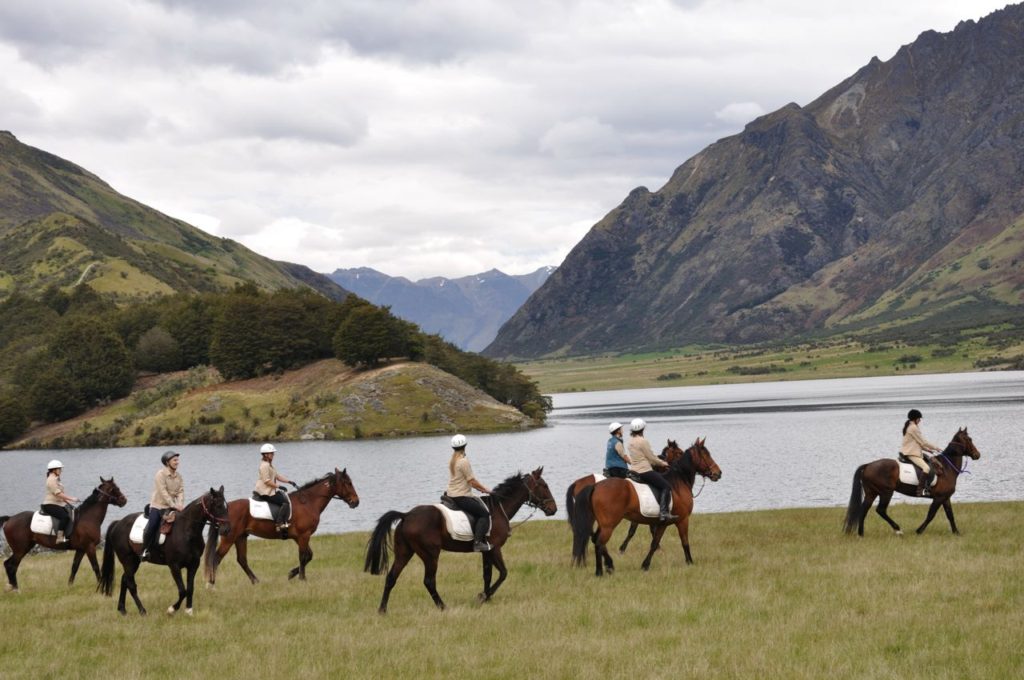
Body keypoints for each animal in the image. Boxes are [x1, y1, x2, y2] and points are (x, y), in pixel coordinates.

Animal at [99, 487, 230, 616]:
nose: (226, 529)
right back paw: (142, 611)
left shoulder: (193, 565)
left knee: (124, 580)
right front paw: (172, 609)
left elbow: (190, 589)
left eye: (226, 506)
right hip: (128, 561)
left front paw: (188, 610)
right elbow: (183, 591)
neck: (187, 531)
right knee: (131, 584)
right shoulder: (174, 566)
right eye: (218, 505)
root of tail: (118, 523)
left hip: (134, 561)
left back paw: (122, 609)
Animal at [204, 468, 359, 586]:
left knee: (242, 560)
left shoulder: (299, 537)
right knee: (216, 558)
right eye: (348, 483)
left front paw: (292, 574)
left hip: (241, 537)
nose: (356, 502)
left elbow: (309, 555)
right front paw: (302, 578)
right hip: (229, 538)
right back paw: (211, 583)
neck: (308, 502)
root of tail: (225, 508)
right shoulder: (304, 535)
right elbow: (303, 556)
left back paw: (255, 581)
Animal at [364, 467, 557, 614]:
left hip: (404, 552)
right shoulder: (495, 548)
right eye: (544, 485)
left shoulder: (486, 550)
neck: (498, 508)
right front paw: (483, 596)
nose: (553, 509)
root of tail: (406, 516)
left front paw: (486, 597)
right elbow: (503, 573)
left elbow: (487, 574)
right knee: (429, 581)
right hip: (430, 554)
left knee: (391, 577)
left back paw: (382, 610)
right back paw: (442, 607)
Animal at [571, 439, 721, 576]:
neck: (678, 483)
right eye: (706, 455)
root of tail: (595, 486)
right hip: (609, 524)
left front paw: (645, 565)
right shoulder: (682, 520)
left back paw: (604, 568)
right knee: (599, 543)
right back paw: (603, 569)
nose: (718, 473)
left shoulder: (661, 523)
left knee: (596, 540)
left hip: (602, 523)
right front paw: (690, 562)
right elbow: (684, 541)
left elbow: (654, 542)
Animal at [842, 428, 981, 537]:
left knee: (864, 510)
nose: (977, 455)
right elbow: (931, 515)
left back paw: (861, 534)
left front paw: (956, 532)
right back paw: (898, 530)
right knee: (880, 510)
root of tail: (868, 465)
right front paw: (919, 531)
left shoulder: (945, 498)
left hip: (871, 493)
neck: (947, 468)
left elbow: (950, 515)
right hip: (886, 492)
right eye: (969, 439)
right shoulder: (939, 498)